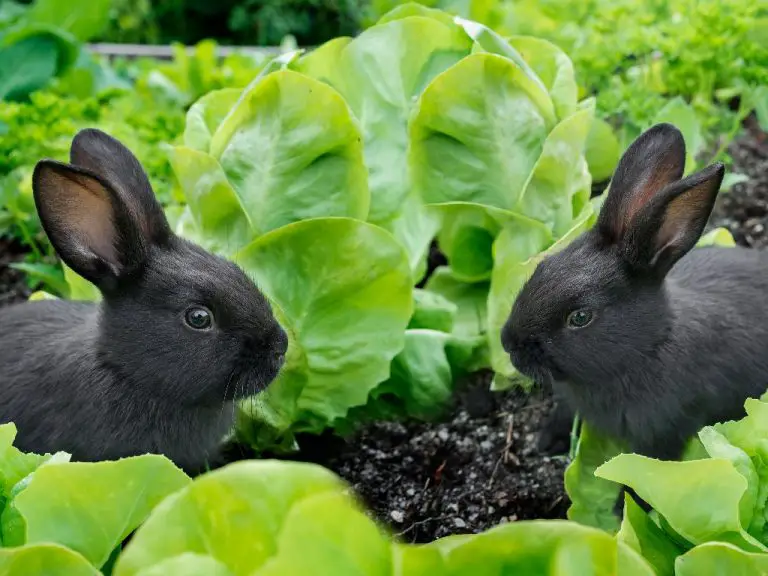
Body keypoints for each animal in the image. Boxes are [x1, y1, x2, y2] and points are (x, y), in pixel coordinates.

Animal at [501, 122, 768, 512]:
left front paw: (623, 507)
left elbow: (645, 470)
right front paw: (544, 442)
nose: (508, 343)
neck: (646, 349)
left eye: (580, 317)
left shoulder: (664, 433)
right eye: (542, 266)